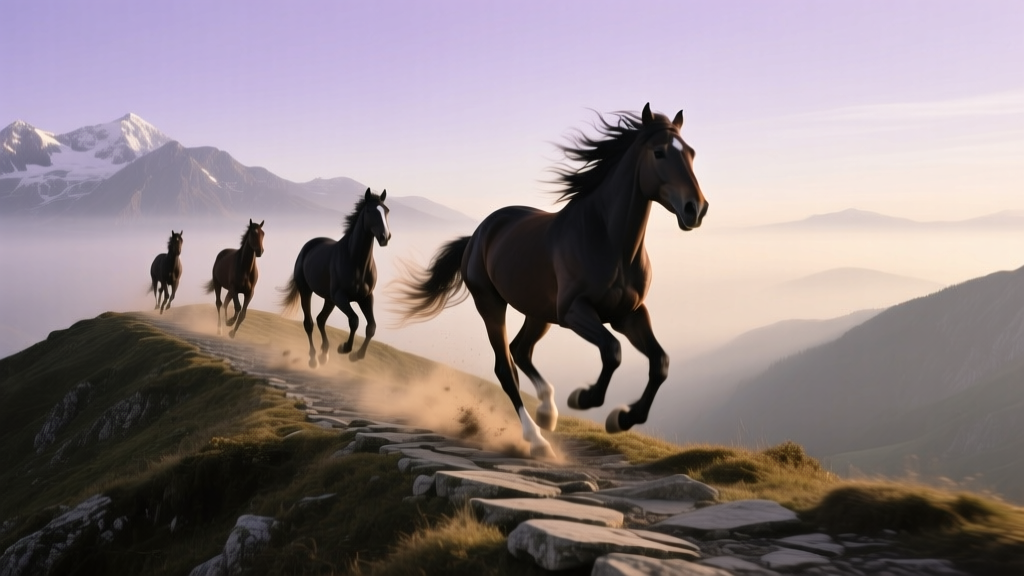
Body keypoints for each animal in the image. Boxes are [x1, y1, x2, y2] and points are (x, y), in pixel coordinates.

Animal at [280, 188, 391, 365]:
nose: (384, 237)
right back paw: (313, 359)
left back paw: (324, 354)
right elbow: (354, 320)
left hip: (329, 299)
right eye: (369, 211)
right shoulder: (340, 297)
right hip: (307, 292)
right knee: (309, 323)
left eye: (386, 211)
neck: (356, 262)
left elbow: (371, 327)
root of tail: (307, 246)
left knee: (321, 319)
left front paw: (357, 355)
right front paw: (345, 348)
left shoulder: (366, 297)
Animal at [393, 104, 707, 458]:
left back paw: (548, 413)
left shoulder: (629, 314)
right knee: (505, 367)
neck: (610, 244)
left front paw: (622, 418)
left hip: (539, 313)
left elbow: (660, 362)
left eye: (691, 153)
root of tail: (477, 234)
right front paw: (584, 398)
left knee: (520, 350)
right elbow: (612, 350)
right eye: (659, 152)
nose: (696, 209)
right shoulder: (575, 312)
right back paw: (537, 440)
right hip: (491, 304)